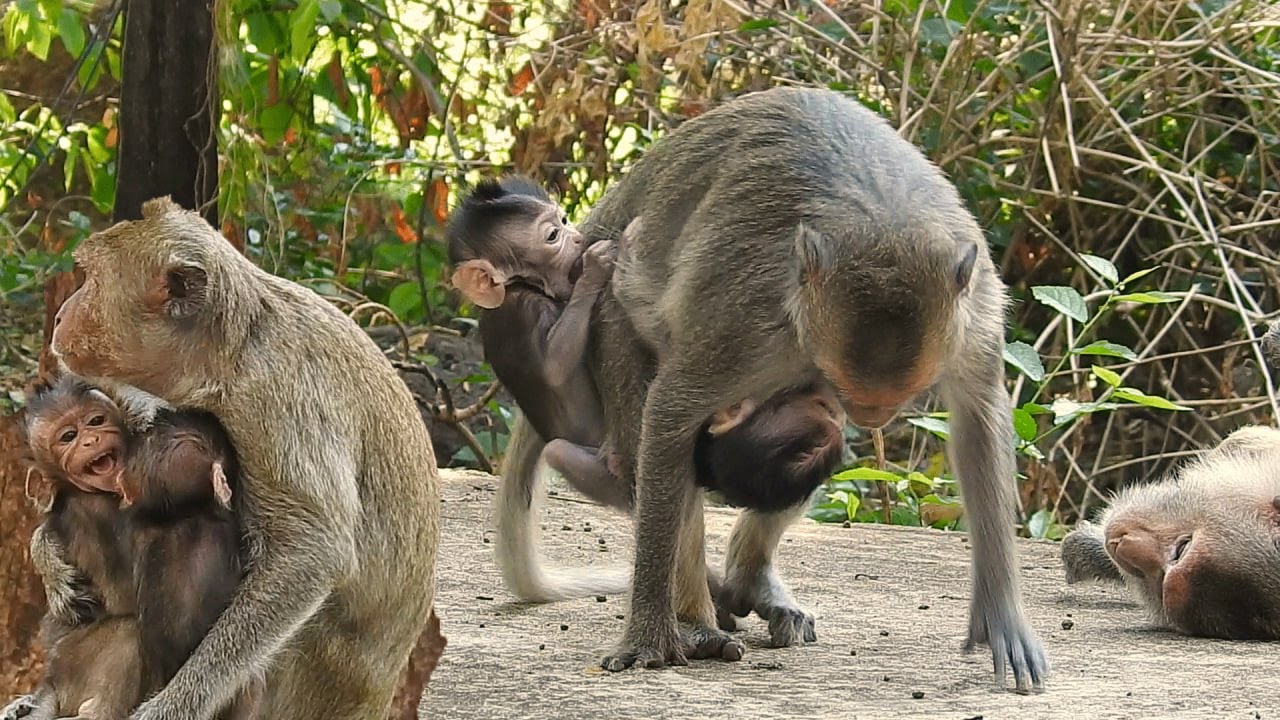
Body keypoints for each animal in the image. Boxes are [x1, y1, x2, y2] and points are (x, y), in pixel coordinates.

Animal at [45, 197, 441, 720]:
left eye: (89, 279)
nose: (59, 316)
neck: (229, 351)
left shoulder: (277, 398)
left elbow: (312, 552)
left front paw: (173, 706)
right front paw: (48, 560)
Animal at [497, 87, 1046, 691]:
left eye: (897, 395)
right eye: (859, 390)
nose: (871, 415)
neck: (883, 214)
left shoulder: (974, 314)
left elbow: (978, 417)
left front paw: (1000, 616)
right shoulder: (746, 324)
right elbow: (671, 411)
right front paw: (649, 634)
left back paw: (746, 581)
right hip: (601, 329)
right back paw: (695, 623)